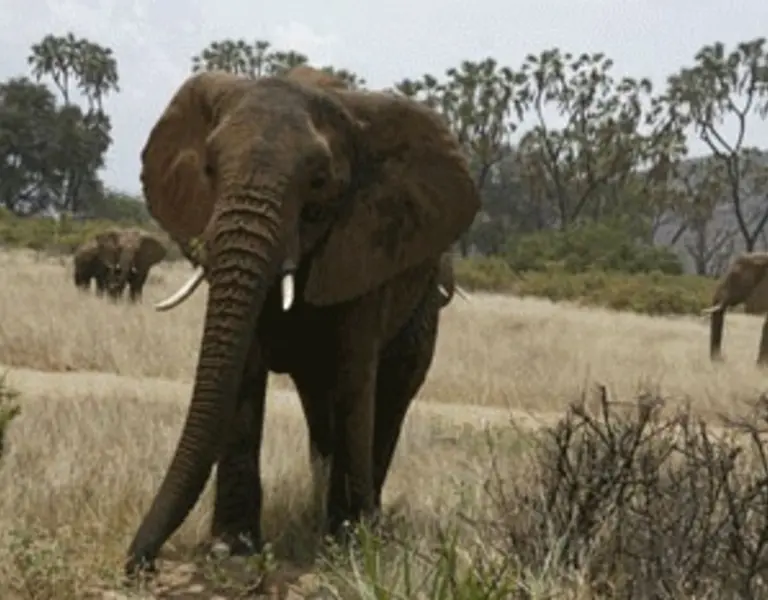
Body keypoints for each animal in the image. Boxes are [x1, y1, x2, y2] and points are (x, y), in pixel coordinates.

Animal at [124, 66, 480, 575]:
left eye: (319, 181)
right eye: (209, 169)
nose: (141, 563)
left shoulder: (365, 245)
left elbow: (356, 378)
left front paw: (348, 546)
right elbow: (244, 374)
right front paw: (231, 550)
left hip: (423, 308)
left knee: (391, 397)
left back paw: (368, 520)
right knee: (320, 407)